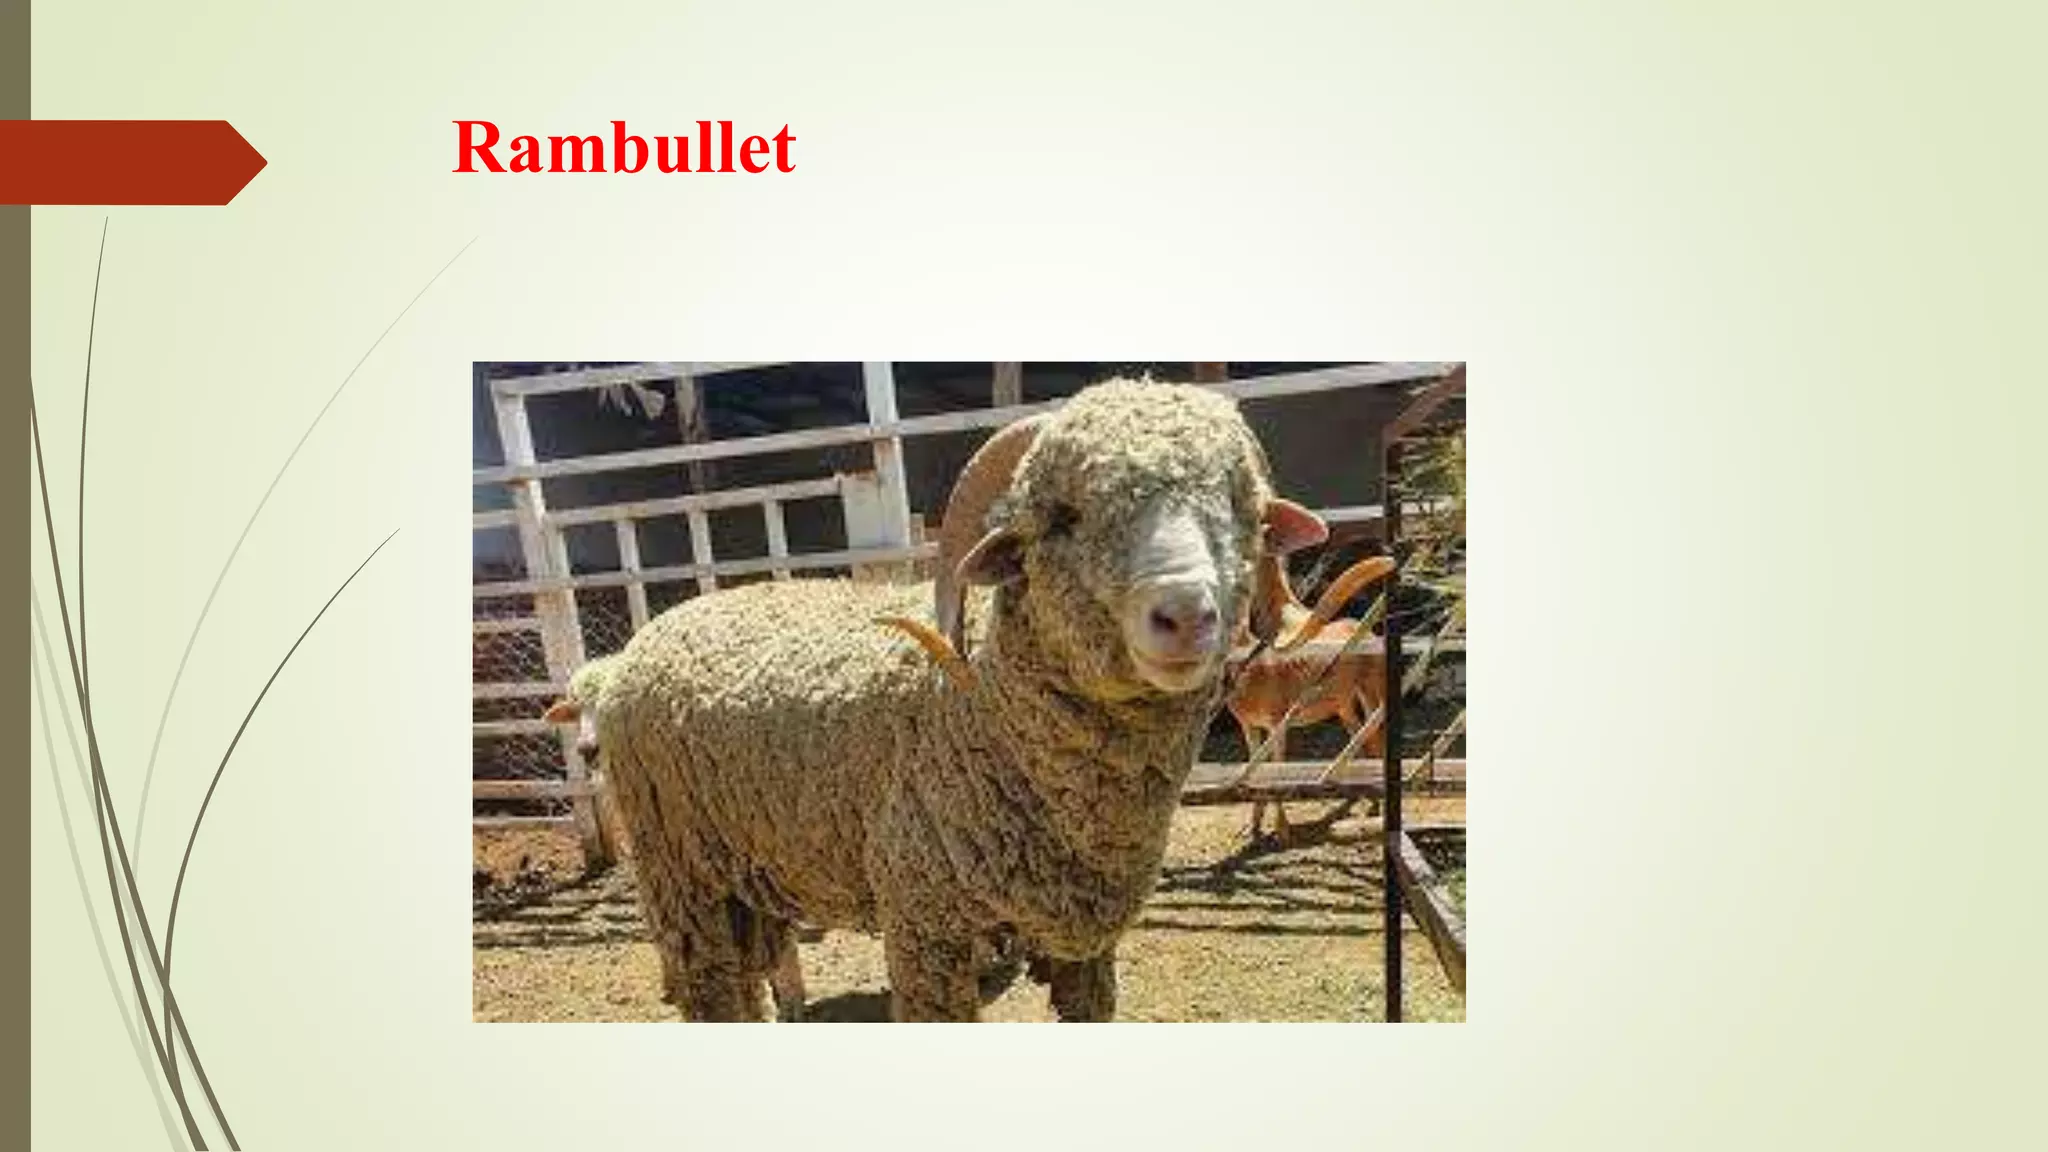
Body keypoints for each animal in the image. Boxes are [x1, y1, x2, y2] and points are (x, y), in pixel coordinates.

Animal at [592, 379, 1330, 1021]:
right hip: (683, 876)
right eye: (1062, 517)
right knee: (714, 990)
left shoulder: (1085, 940)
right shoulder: (927, 927)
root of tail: (647, 637)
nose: (1185, 614)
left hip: (754, 874)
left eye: (1242, 508)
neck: (982, 707)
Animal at [1224, 552, 1396, 838]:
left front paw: (1282, 831)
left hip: (1371, 692)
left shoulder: (1277, 724)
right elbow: (1255, 767)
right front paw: (1253, 828)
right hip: (1344, 706)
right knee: (1362, 740)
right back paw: (1369, 803)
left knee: (1376, 740)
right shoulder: (1248, 725)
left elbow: (1277, 768)